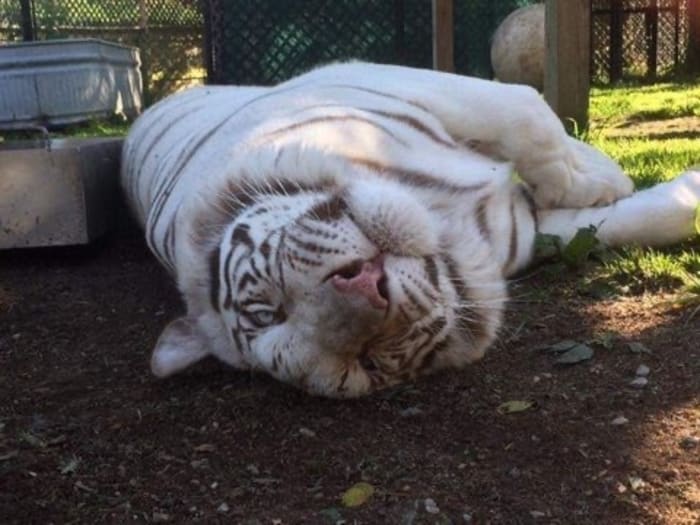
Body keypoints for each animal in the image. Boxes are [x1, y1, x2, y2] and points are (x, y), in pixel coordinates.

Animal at [121, 62, 700, 397]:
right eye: (364, 364)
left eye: (268, 307)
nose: (363, 286)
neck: (442, 214)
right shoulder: (533, 229)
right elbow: (616, 221)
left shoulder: (412, 83)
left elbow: (528, 119)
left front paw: (603, 176)